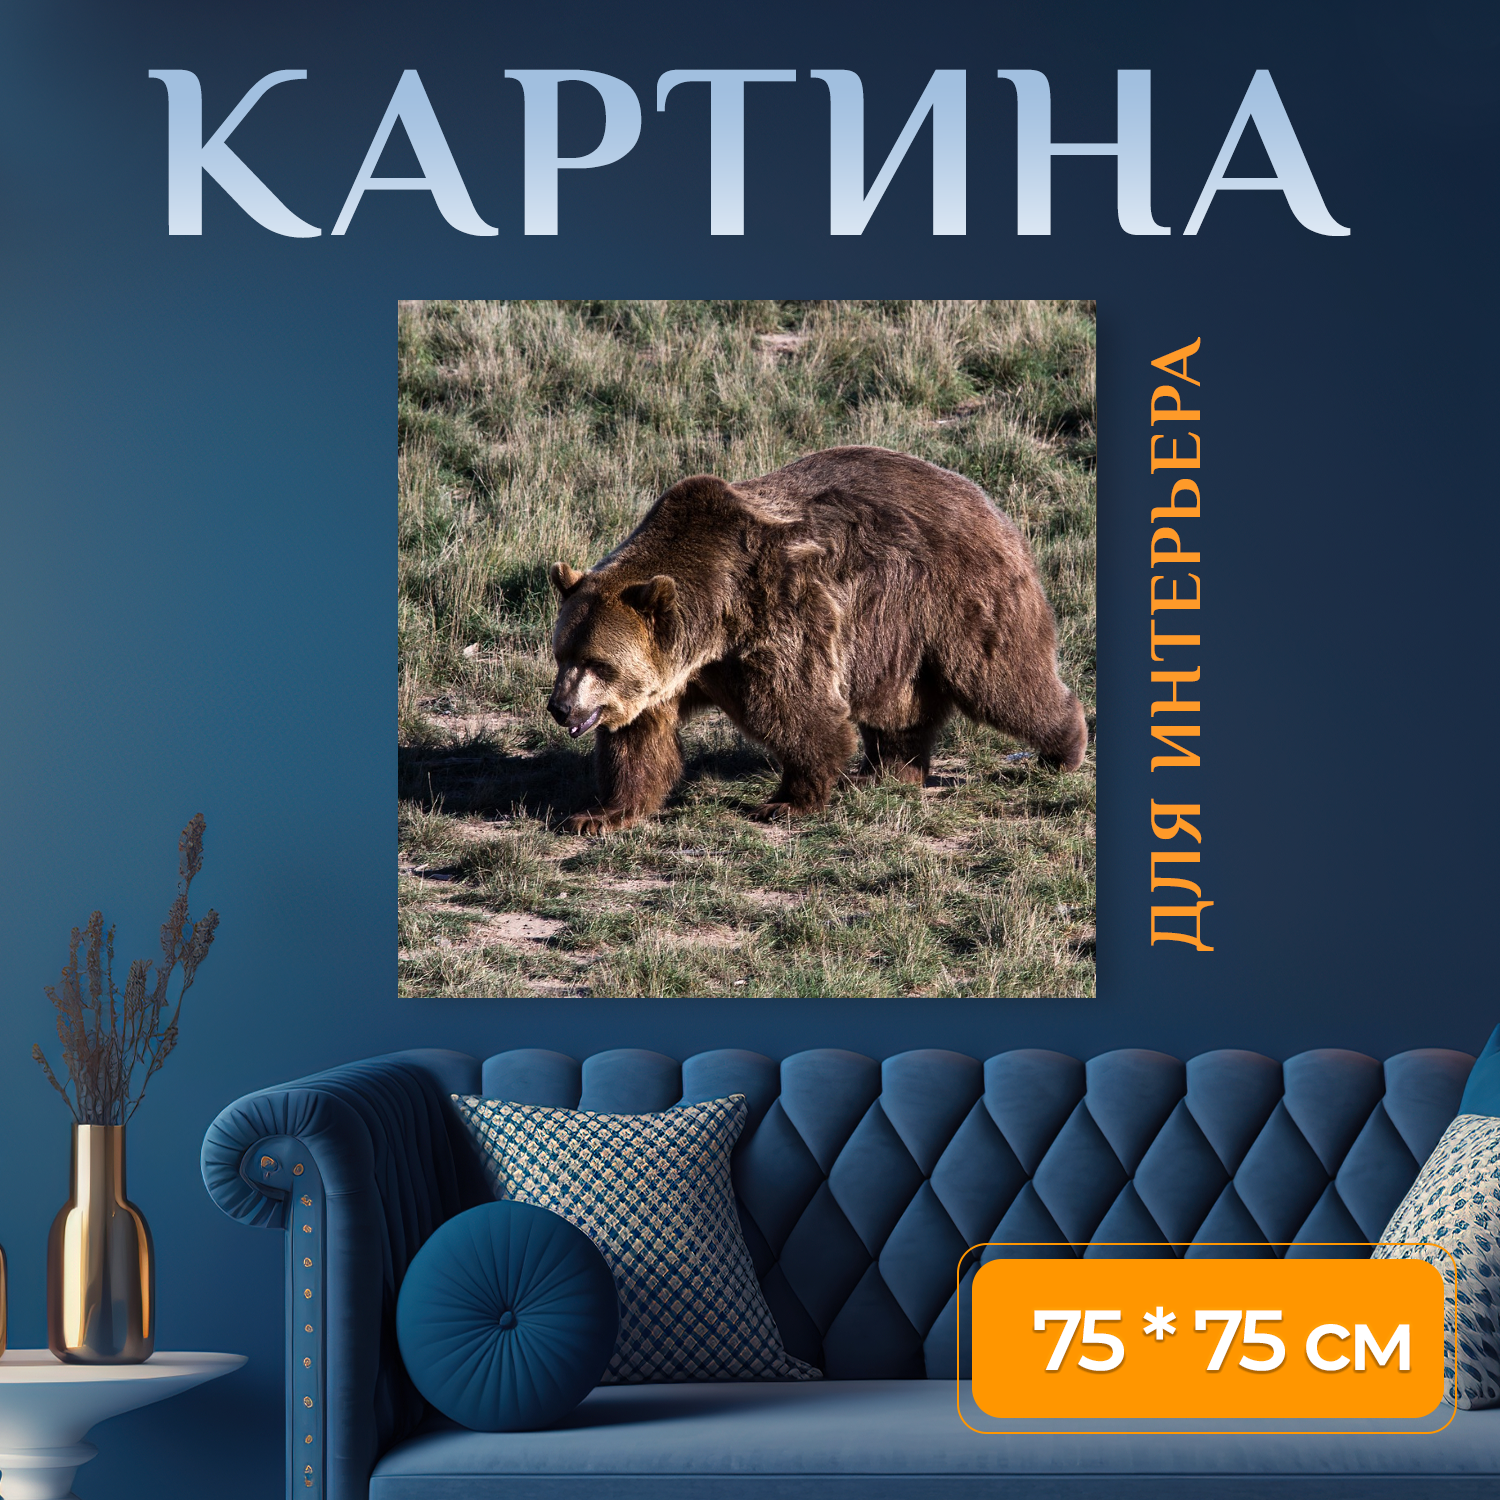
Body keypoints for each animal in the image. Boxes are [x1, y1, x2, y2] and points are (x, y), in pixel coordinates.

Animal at [545, 445, 1087, 834]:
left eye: (599, 663)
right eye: (562, 655)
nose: (560, 707)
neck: (712, 625)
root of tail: (985, 499)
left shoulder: (774, 617)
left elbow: (799, 712)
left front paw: (787, 801)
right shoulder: (666, 679)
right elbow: (638, 744)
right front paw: (599, 815)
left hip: (957, 597)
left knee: (1002, 680)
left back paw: (1063, 748)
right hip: (896, 635)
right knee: (900, 707)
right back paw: (887, 770)